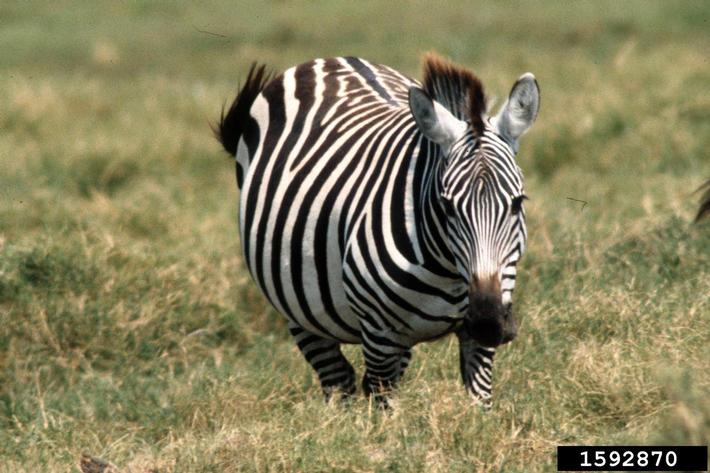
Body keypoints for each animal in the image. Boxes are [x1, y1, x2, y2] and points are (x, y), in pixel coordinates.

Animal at [216, 53, 539, 406]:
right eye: (447, 206)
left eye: (517, 203)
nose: (488, 322)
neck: (449, 273)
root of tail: (329, 60)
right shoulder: (379, 335)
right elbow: (384, 407)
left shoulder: (477, 332)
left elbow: (478, 403)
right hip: (298, 309)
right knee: (338, 379)